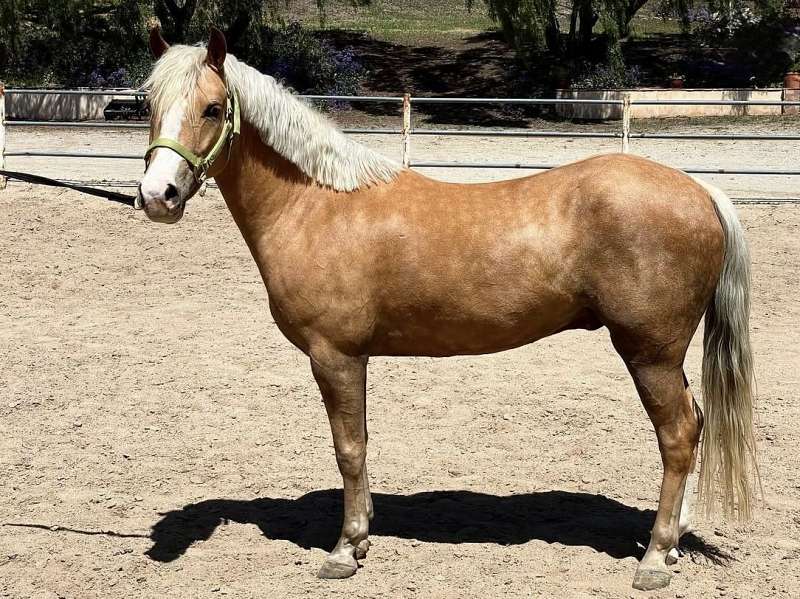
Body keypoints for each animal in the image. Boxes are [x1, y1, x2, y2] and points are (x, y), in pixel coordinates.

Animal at [137, 27, 758, 591]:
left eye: (213, 108)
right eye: (150, 105)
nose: (156, 196)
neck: (317, 205)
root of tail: (700, 192)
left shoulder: (335, 356)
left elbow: (349, 448)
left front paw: (344, 549)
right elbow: (360, 443)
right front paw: (361, 537)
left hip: (649, 353)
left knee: (678, 435)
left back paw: (654, 558)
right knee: (695, 425)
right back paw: (673, 542)